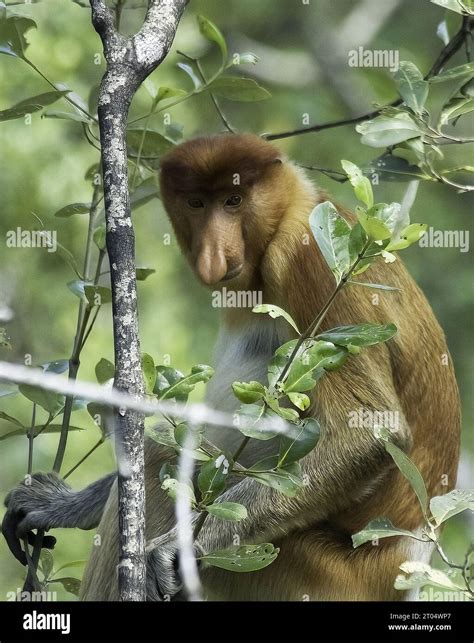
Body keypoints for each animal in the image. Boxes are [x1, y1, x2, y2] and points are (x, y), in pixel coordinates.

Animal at [2, 133, 460, 601]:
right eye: (198, 203)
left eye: (234, 200)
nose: (213, 254)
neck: (288, 213)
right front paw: (57, 504)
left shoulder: (308, 258)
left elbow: (368, 433)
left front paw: (171, 550)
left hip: (303, 572)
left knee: (159, 458)